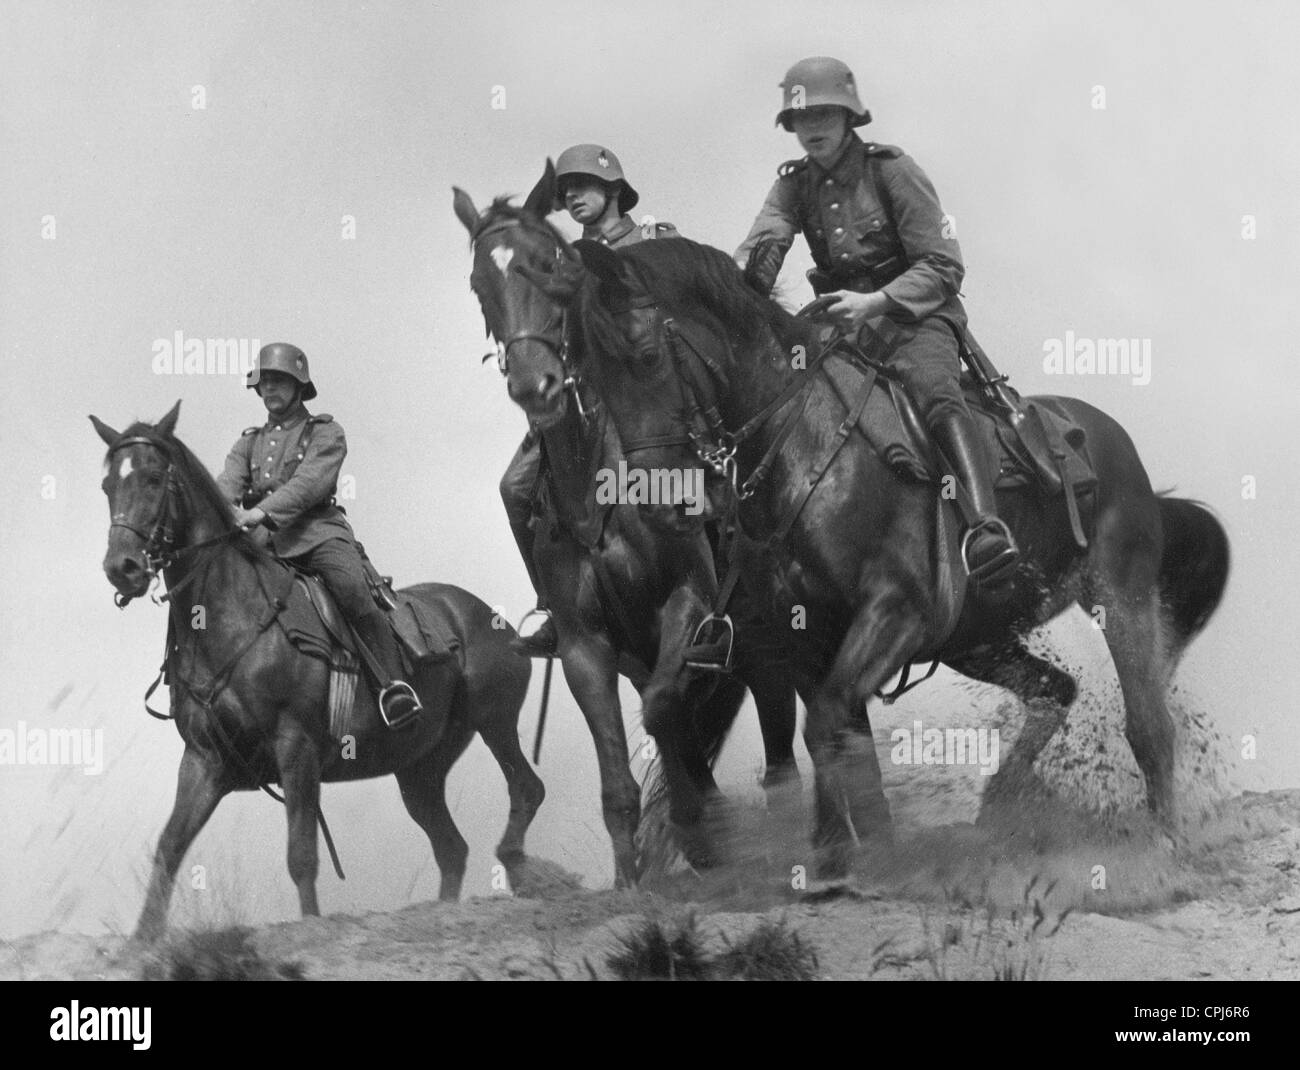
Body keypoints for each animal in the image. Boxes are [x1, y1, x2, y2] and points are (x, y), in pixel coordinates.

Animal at [90, 405, 538, 941]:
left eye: (155, 478)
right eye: (107, 485)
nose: (122, 567)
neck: (231, 616)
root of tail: (495, 619)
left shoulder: (297, 748)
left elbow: (301, 854)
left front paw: (309, 928)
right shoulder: (204, 761)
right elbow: (170, 846)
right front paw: (143, 939)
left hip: (496, 722)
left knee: (526, 790)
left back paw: (516, 863)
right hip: (419, 768)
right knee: (451, 847)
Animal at [452, 178, 800, 878]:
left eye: (551, 264)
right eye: (480, 284)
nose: (535, 386)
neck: (600, 487)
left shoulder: (688, 605)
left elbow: (666, 712)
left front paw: (693, 830)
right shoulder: (586, 648)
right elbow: (620, 785)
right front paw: (634, 877)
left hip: (762, 647)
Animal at [496, 198, 1227, 868]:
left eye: (646, 357)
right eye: (589, 376)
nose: (657, 500)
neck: (801, 442)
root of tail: (1111, 443)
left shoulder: (890, 611)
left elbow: (825, 727)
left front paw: (843, 856)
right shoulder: (802, 637)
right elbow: (838, 738)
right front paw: (844, 854)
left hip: (1119, 597)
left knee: (1148, 723)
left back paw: (1164, 843)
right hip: (977, 637)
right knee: (1055, 692)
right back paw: (1000, 805)